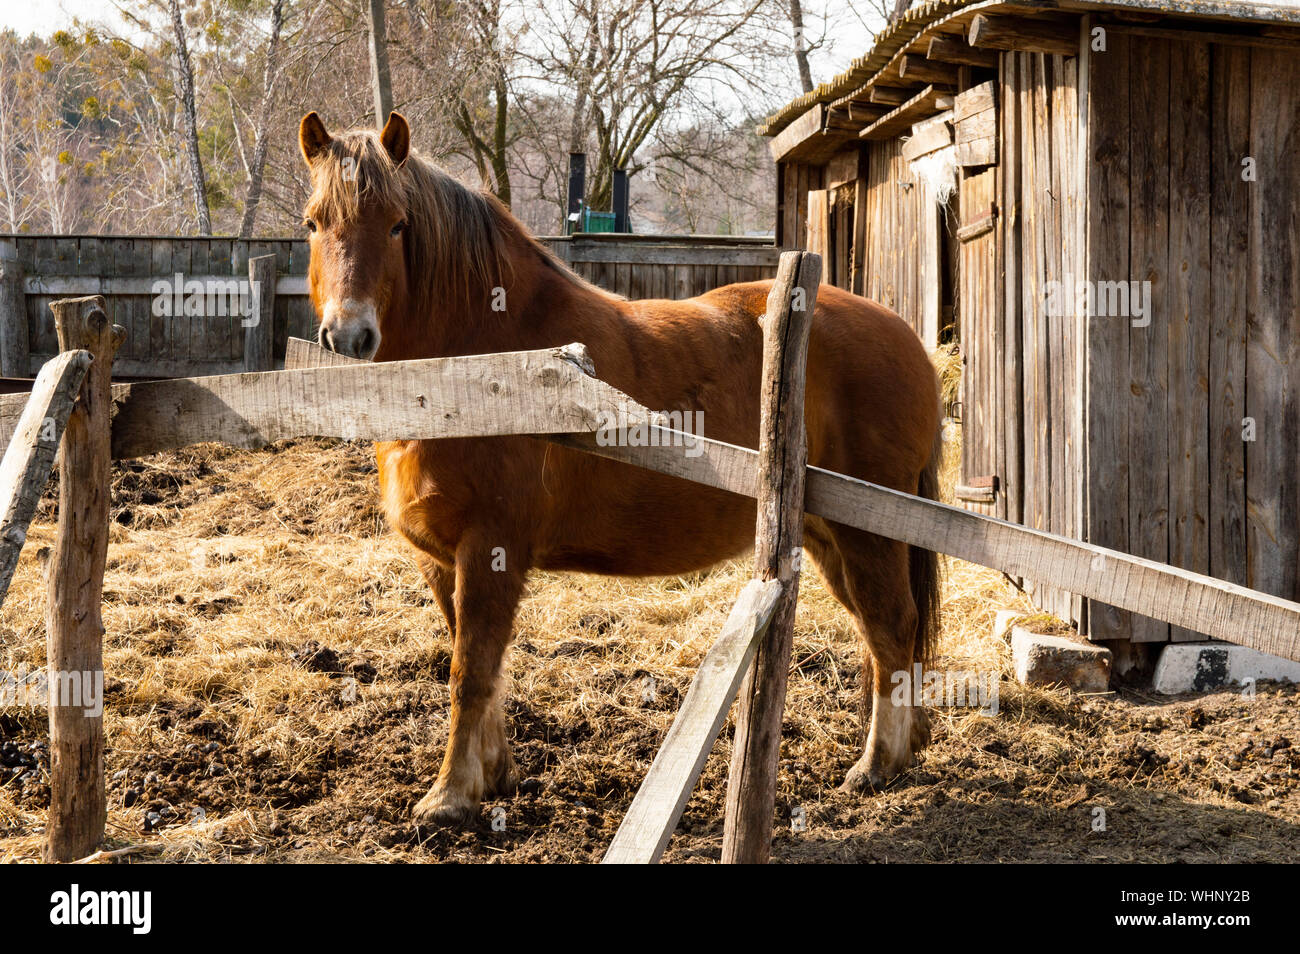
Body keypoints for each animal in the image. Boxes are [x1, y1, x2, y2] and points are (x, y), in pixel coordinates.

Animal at [298, 110, 944, 827]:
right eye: (314, 222)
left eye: (397, 224)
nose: (348, 336)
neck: (484, 364)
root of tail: (908, 338)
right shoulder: (441, 559)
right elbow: (481, 668)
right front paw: (494, 777)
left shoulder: (489, 548)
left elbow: (471, 671)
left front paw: (450, 797)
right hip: (828, 536)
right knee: (881, 633)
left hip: (870, 535)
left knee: (892, 628)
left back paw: (878, 764)